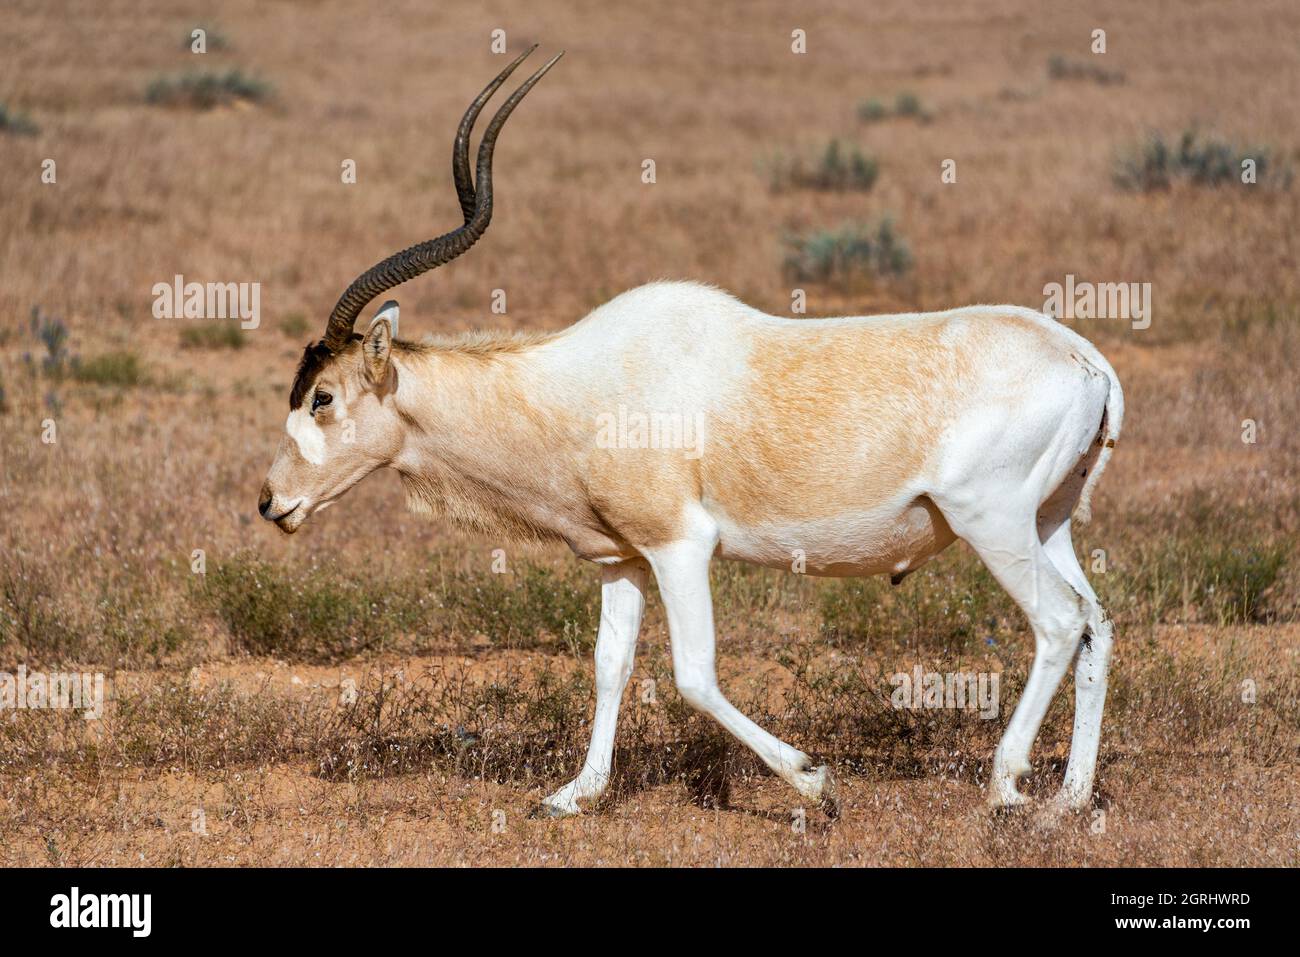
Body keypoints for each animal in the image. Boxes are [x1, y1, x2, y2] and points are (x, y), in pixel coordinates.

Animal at [259, 48, 1124, 819]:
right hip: (1046, 522)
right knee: (1095, 621)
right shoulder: (623, 557)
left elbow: (694, 675)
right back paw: (1070, 798)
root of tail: (1087, 361)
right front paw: (573, 795)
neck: (576, 383)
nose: (272, 502)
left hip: (992, 521)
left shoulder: (681, 547)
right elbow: (610, 665)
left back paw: (1007, 787)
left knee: (1057, 622)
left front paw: (816, 783)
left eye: (324, 396)